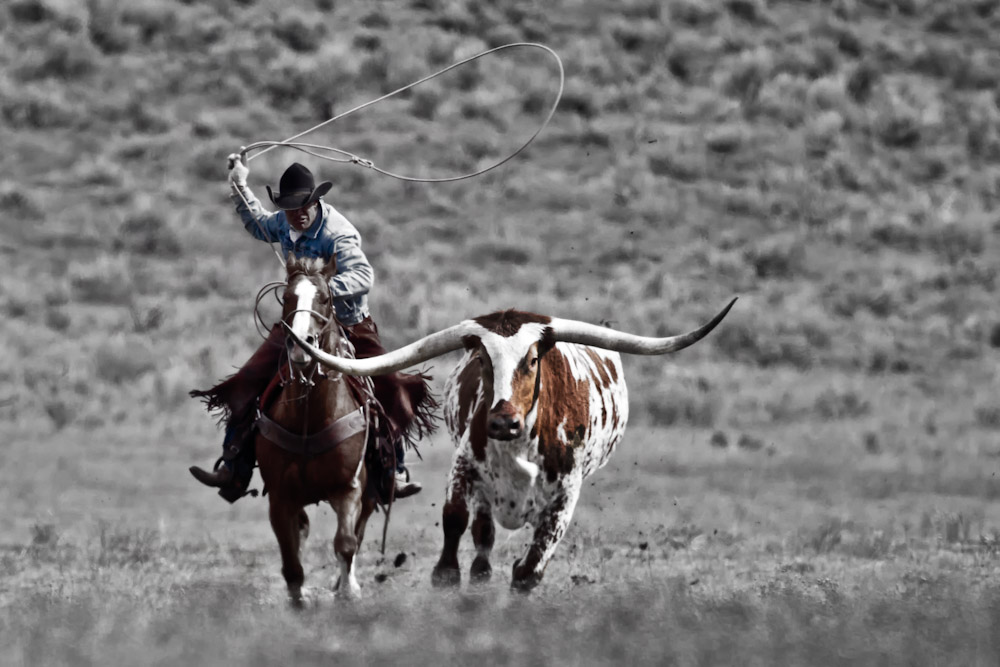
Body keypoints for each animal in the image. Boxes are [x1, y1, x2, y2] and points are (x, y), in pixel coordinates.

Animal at [284, 297, 736, 591]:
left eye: (533, 360)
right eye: (482, 360)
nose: (502, 421)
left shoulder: (565, 494)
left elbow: (530, 567)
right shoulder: (465, 467)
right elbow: (455, 522)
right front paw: (447, 573)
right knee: (483, 537)